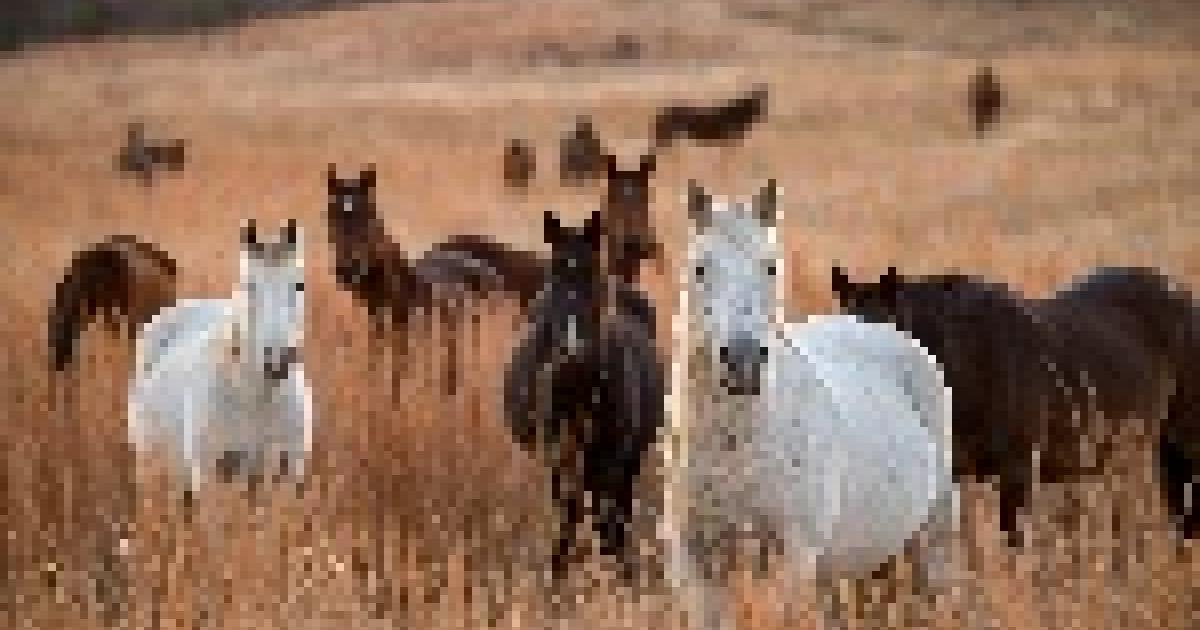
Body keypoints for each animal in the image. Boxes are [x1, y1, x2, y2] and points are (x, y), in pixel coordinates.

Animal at [503, 208, 665, 589]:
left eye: (593, 279)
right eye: (555, 276)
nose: (573, 352)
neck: (577, 387)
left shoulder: (612, 457)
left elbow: (606, 517)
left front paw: (620, 580)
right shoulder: (557, 455)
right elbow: (569, 513)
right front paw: (557, 578)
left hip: (626, 459)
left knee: (615, 510)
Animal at [663, 180, 959, 630]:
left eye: (770, 266)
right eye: (700, 268)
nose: (743, 360)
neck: (735, 446)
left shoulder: (791, 561)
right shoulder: (695, 563)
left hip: (930, 543)